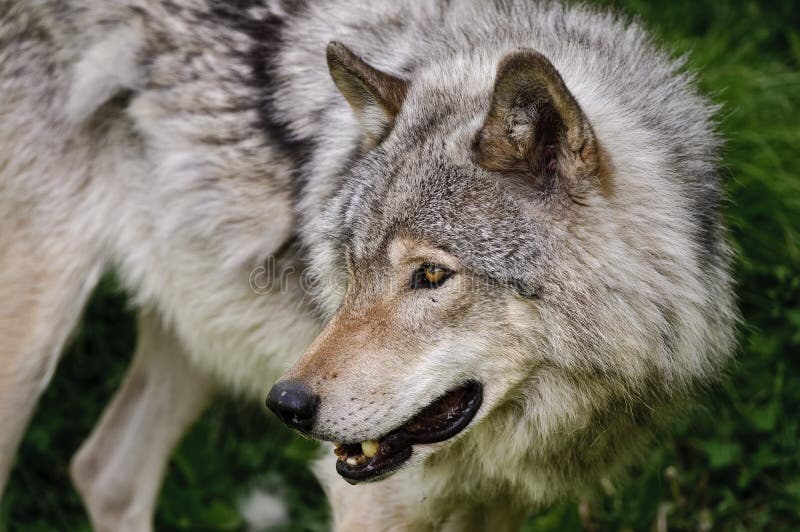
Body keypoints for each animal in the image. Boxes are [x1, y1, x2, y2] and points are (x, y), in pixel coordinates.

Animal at [0, 0, 736, 529]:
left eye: (431, 276)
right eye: (352, 267)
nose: (287, 405)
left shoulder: (497, 506)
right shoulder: (372, 505)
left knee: (104, 473)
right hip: (31, 350)